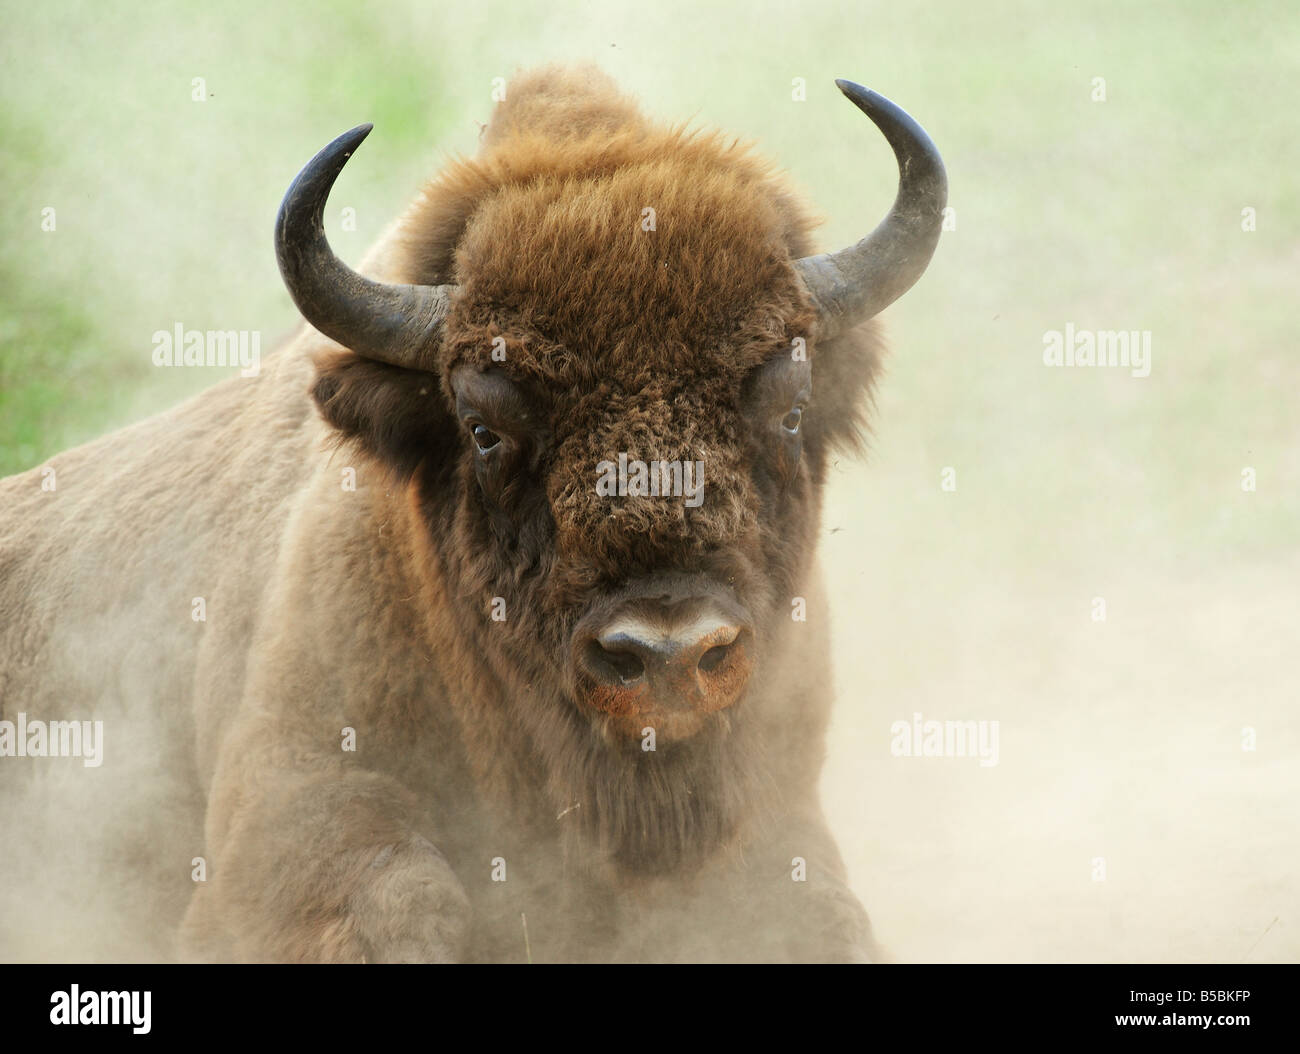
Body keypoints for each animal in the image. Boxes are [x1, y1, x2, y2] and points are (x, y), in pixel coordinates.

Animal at [0, 65, 946, 962]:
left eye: (790, 409)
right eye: (485, 428)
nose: (669, 653)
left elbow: (824, 918)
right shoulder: (287, 797)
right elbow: (408, 900)